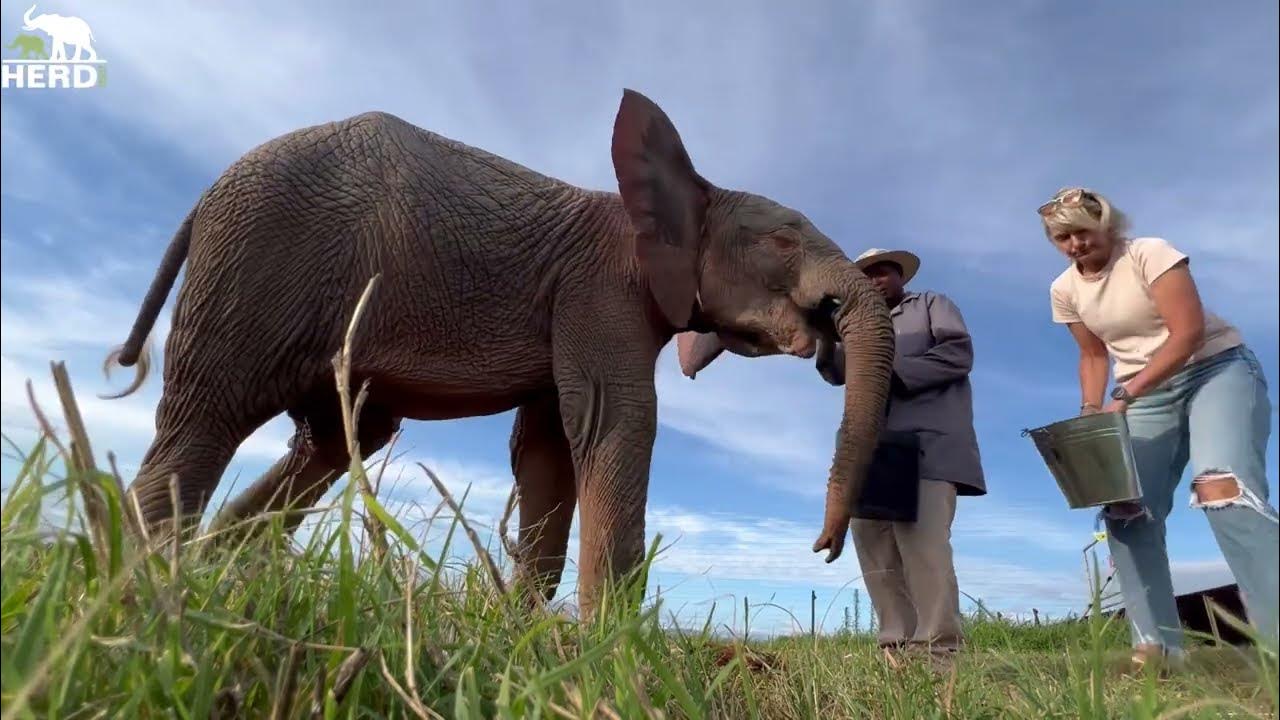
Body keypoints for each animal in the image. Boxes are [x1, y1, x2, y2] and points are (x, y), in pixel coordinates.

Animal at [103, 88, 895, 616]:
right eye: (784, 240)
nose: (823, 548)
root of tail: (203, 196)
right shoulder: (597, 291)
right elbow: (617, 424)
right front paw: (610, 652)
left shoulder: (573, 304)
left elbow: (547, 450)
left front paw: (524, 633)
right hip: (253, 271)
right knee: (207, 420)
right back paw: (148, 598)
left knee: (330, 442)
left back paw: (211, 579)